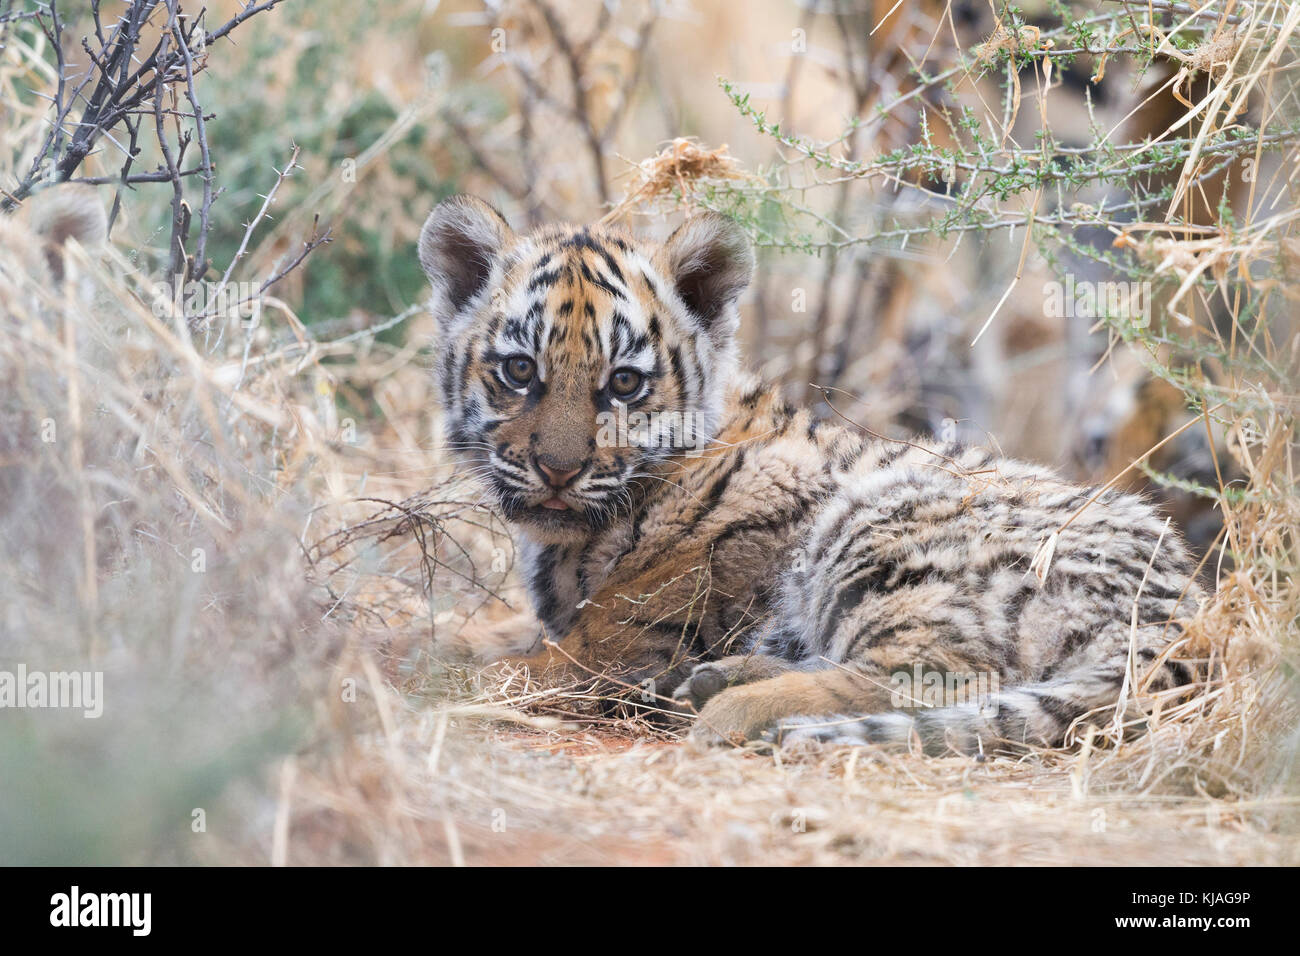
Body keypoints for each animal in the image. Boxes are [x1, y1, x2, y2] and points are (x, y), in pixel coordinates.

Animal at [418, 195, 1203, 753]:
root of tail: (1185, 614)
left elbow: (483, 670)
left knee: (932, 679)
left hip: (880, 531)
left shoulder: (616, 642)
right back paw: (715, 684)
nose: (557, 470)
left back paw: (732, 709)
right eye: (521, 372)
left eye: (624, 384)